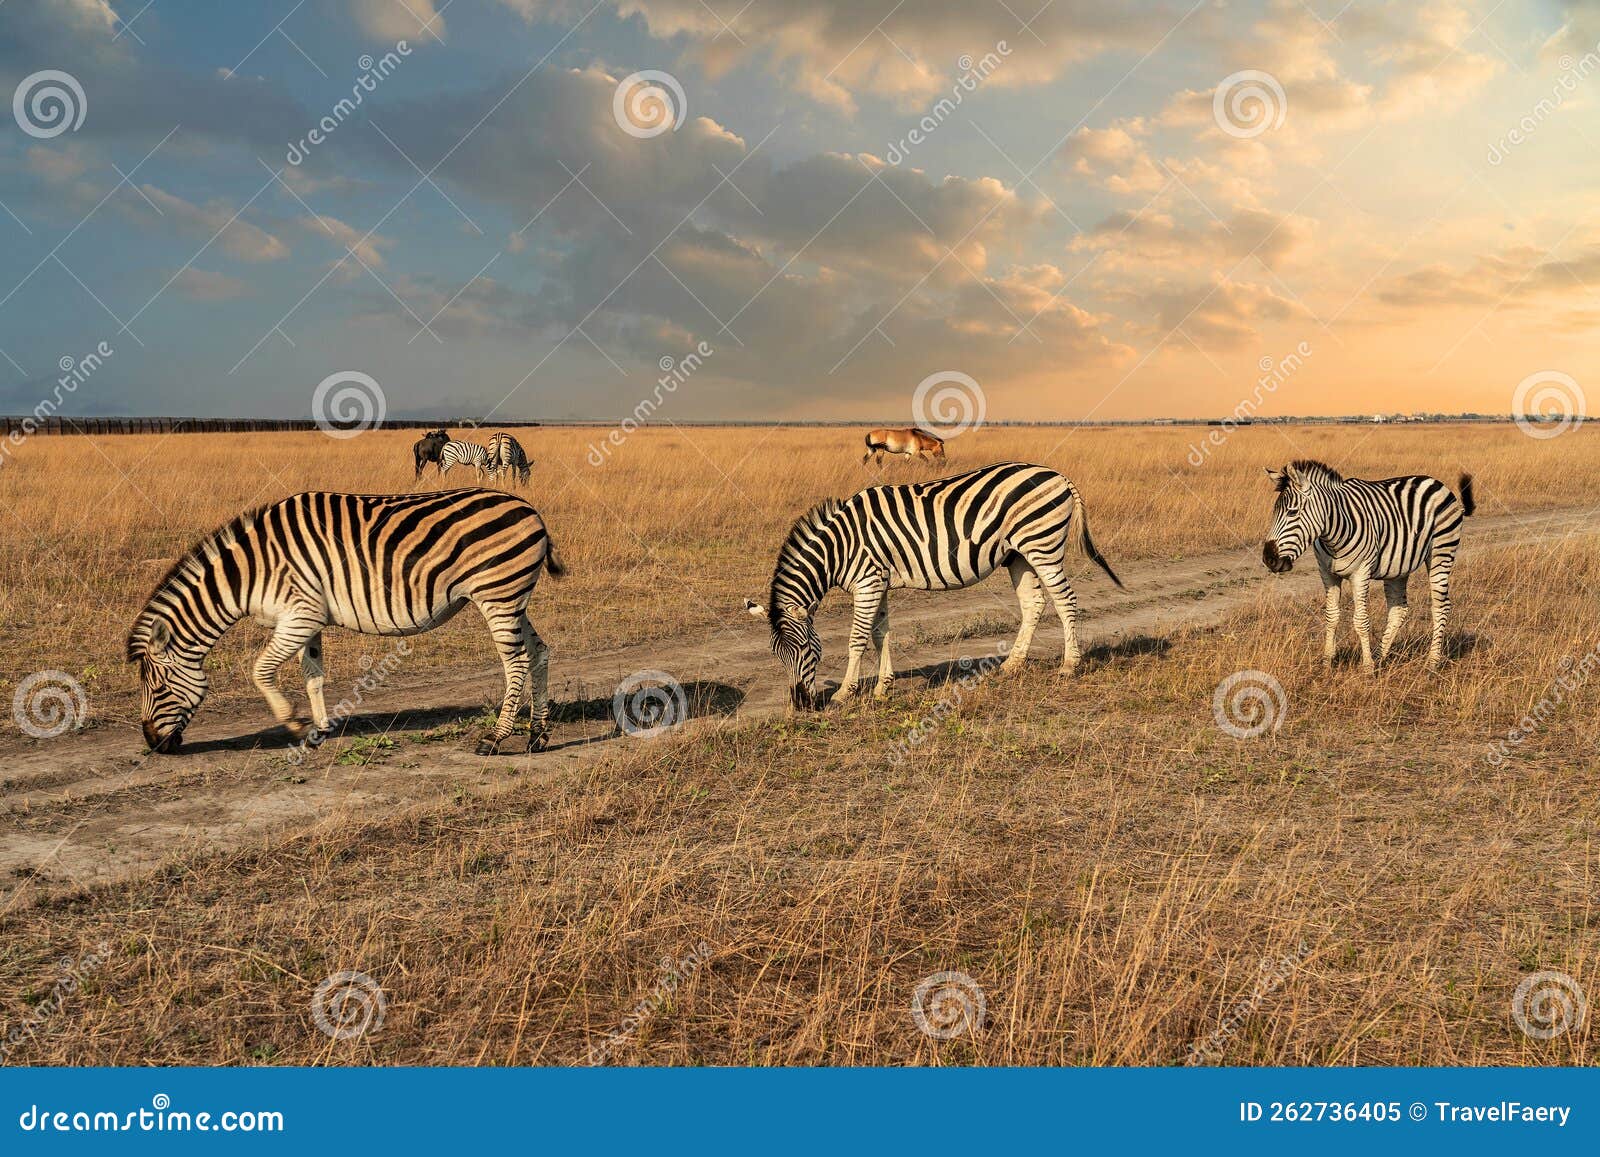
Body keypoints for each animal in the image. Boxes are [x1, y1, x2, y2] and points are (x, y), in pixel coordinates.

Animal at [126, 489, 565, 756]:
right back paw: (537, 735)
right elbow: (312, 675)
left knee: (516, 663)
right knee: (539, 652)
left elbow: (260, 671)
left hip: (497, 595)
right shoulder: (307, 620)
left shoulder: (299, 615)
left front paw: (295, 723)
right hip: (513, 598)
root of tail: (532, 510)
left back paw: (495, 739)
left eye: (158, 688)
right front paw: (318, 729)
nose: (152, 744)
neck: (252, 570)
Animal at [744, 461, 1122, 709]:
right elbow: (881, 633)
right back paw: (1012, 665)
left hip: (1042, 545)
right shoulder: (879, 581)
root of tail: (1059, 475)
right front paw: (883, 687)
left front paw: (844, 693)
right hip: (1019, 554)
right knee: (1034, 604)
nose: (800, 706)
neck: (839, 547)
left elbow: (857, 639)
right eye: (778, 655)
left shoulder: (868, 581)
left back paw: (1069, 666)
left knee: (1065, 601)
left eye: (805, 649)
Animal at [1262, 459, 1474, 672]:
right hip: (1398, 568)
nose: (1268, 559)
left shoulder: (1361, 573)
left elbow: (1361, 620)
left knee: (1441, 606)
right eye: (1274, 512)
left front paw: (1367, 668)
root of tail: (1435, 482)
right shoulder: (1327, 573)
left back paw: (1431, 663)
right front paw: (1327, 661)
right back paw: (1380, 657)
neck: (1333, 533)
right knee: (1398, 610)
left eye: (1292, 512)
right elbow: (1331, 616)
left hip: (1441, 551)